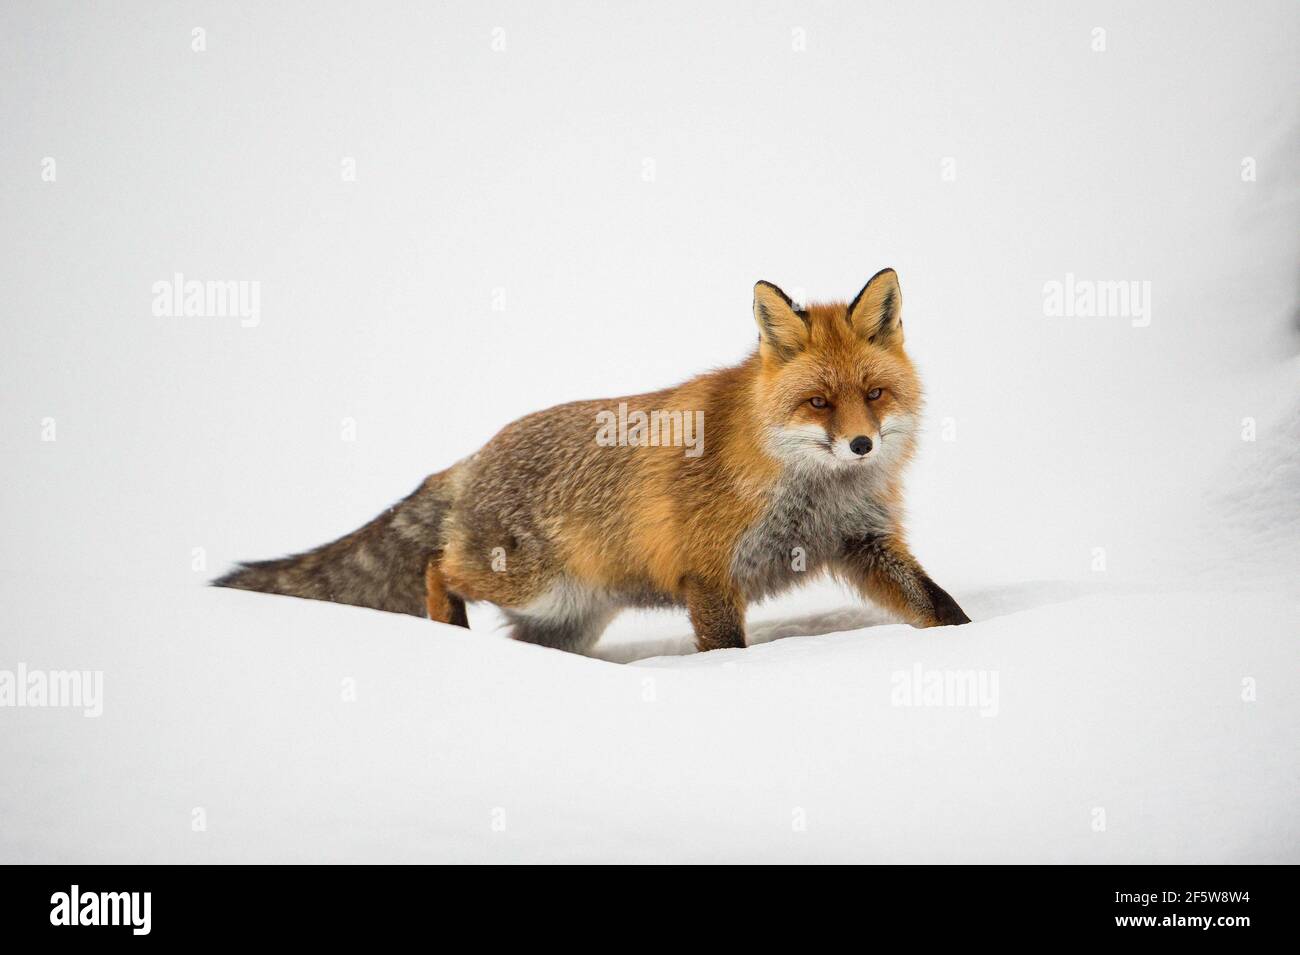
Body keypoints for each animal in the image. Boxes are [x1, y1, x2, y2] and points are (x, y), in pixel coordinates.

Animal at [215, 267, 971, 651]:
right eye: (818, 402)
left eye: (874, 395)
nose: (863, 444)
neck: (809, 487)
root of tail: (476, 453)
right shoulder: (706, 570)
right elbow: (726, 647)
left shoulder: (861, 540)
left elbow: (938, 605)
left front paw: (969, 645)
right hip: (529, 584)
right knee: (436, 566)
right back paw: (450, 637)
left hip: (565, 620)